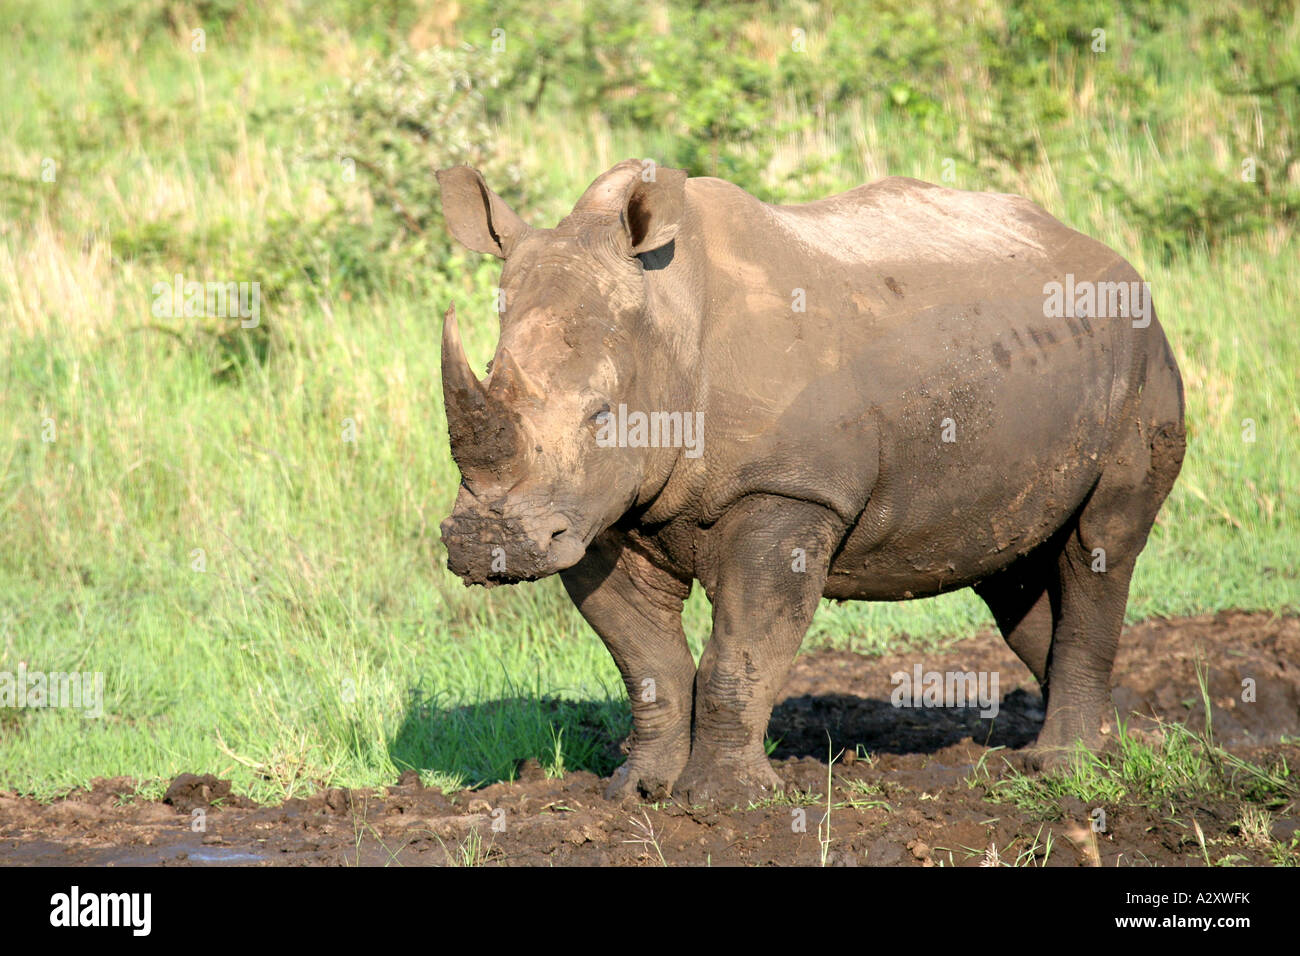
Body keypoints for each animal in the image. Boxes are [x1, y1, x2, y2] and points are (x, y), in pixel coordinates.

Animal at [435, 159, 1185, 804]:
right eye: (491, 378)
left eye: (600, 414)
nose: (484, 540)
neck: (666, 319)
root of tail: (1117, 260)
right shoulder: (597, 516)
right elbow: (649, 663)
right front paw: (639, 791)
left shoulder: (787, 491)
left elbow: (739, 653)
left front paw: (723, 802)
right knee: (1016, 577)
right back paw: (1111, 749)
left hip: (1141, 354)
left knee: (1099, 547)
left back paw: (1064, 768)